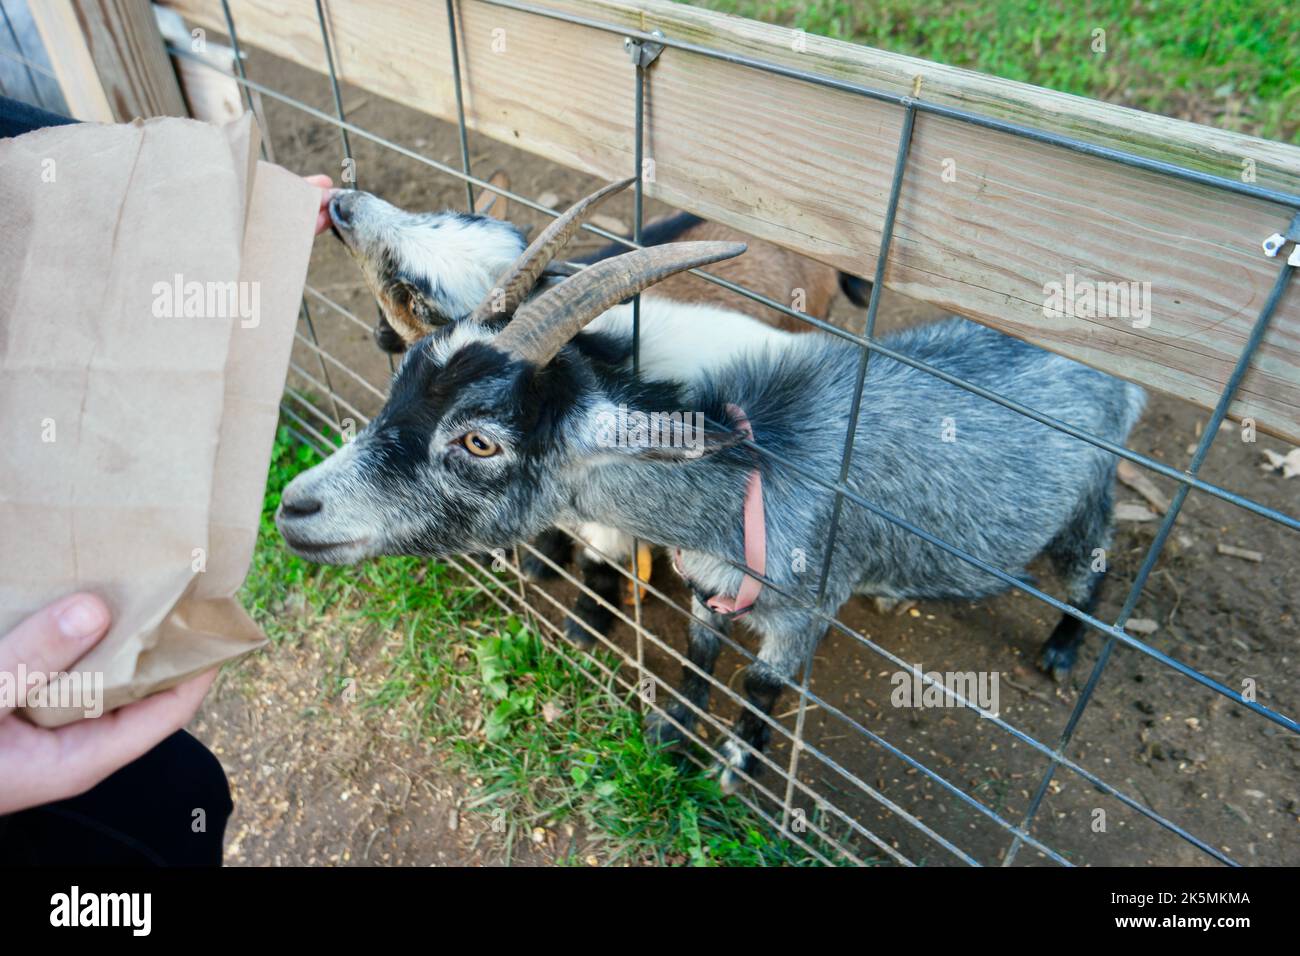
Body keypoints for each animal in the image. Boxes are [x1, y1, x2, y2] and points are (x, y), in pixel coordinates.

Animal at [282, 183, 1146, 791]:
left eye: (479, 440)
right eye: (405, 377)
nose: (296, 505)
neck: (750, 483)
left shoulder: (802, 611)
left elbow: (760, 681)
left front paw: (733, 766)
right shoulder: (706, 582)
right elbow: (698, 653)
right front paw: (671, 733)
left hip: (1084, 499)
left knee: (1094, 562)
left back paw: (1064, 649)